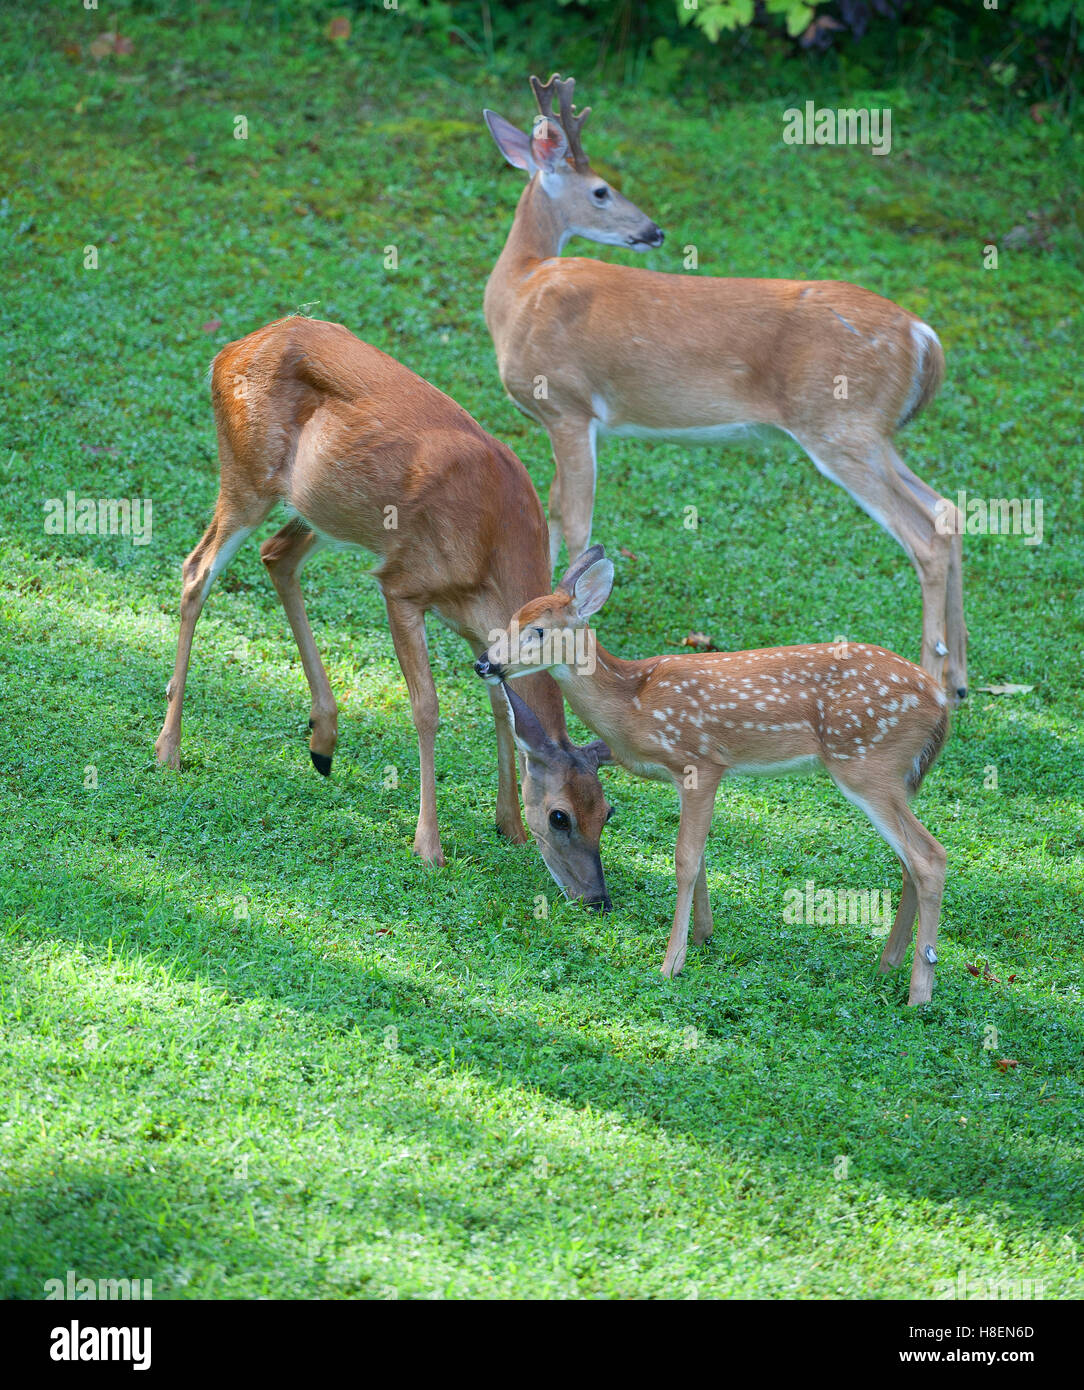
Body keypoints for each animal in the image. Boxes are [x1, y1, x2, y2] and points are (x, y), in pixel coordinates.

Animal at [153, 315, 615, 905]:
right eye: (560, 817)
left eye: (606, 811)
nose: (597, 899)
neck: (490, 555)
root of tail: (229, 351)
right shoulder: (403, 587)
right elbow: (427, 708)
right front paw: (429, 847)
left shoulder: (482, 635)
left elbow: (499, 710)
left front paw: (507, 824)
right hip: (247, 474)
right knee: (197, 570)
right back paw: (169, 747)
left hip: (322, 507)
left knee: (276, 555)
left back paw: (322, 741)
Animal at [475, 545, 951, 1005]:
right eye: (509, 621)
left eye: (538, 630)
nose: (483, 664)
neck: (634, 703)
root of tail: (941, 704)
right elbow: (701, 857)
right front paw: (703, 938)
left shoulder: (701, 762)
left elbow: (685, 859)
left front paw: (670, 963)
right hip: (892, 777)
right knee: (909, 862)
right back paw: (887, 966)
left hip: (867, 764)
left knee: (930, 856)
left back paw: (919, 994)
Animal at [482, 74, 968, 704]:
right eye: (602, 191)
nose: (653, 231)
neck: (520, 289)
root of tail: (923, 336)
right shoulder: (566, 419)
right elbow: (558, 506)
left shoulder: (568, 405)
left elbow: (574, 514)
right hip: (872, 432)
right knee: (946, 510)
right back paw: (962, 678)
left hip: (840, 425)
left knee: (925, 534)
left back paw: (936, 676)